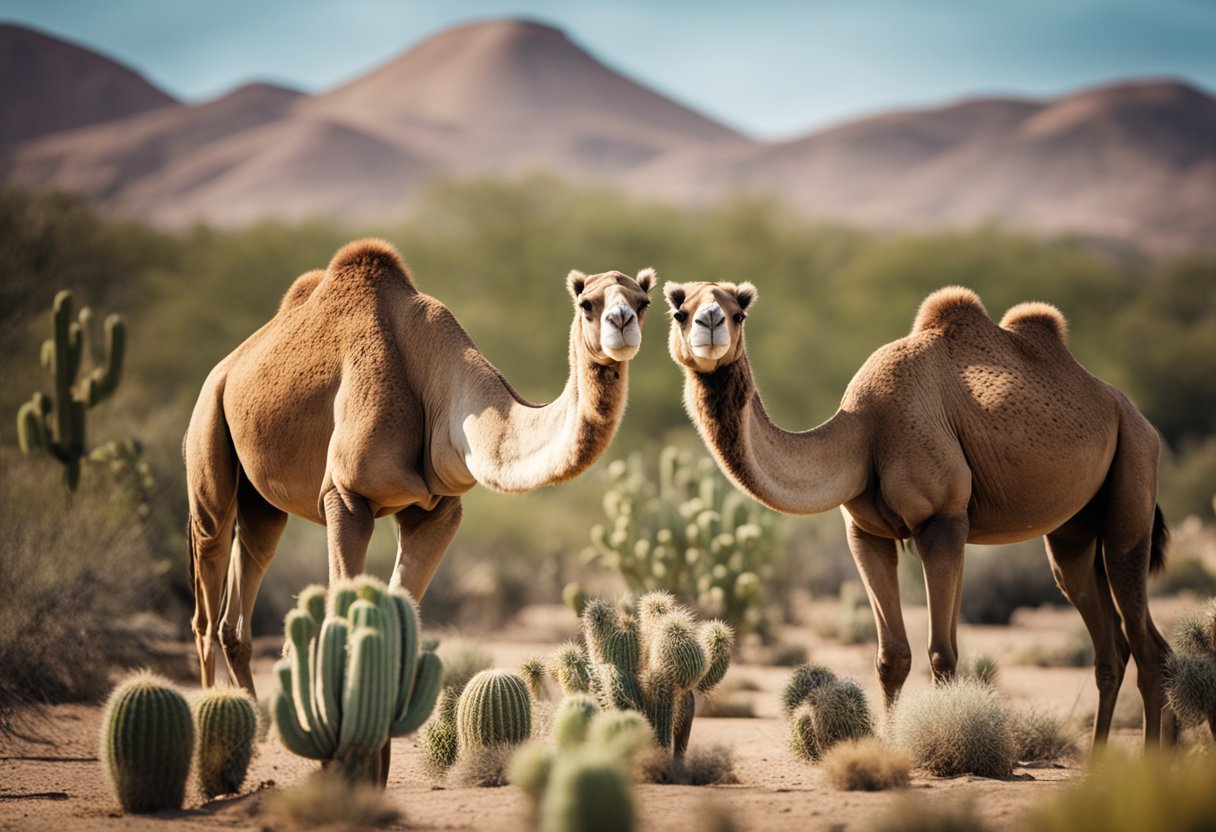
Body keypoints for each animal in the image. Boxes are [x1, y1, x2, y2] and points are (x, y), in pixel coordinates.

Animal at [186, 238, 655, 698]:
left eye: (643, 301)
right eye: (587, 303)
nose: (621, 322)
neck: (443, 388)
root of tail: (226, 367)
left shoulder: (437, 508)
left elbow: (403, 625)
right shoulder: (346, 494)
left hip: (260, 501)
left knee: (247, 574)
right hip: (208, 433)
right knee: (206, 592)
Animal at [664, 281, 1174, 749]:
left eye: (738, 312)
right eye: (680, 311)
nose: (710, 323)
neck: (865, 429)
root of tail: (1134, 414)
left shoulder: (942, 521)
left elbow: (942, 653)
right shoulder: (866, 533)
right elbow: (893, 655)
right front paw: (891, 747)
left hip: (1132, 484)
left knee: (1147, 645)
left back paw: (1151, 761)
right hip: (1072, 534)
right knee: (1112, 645)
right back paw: (1101, 760)